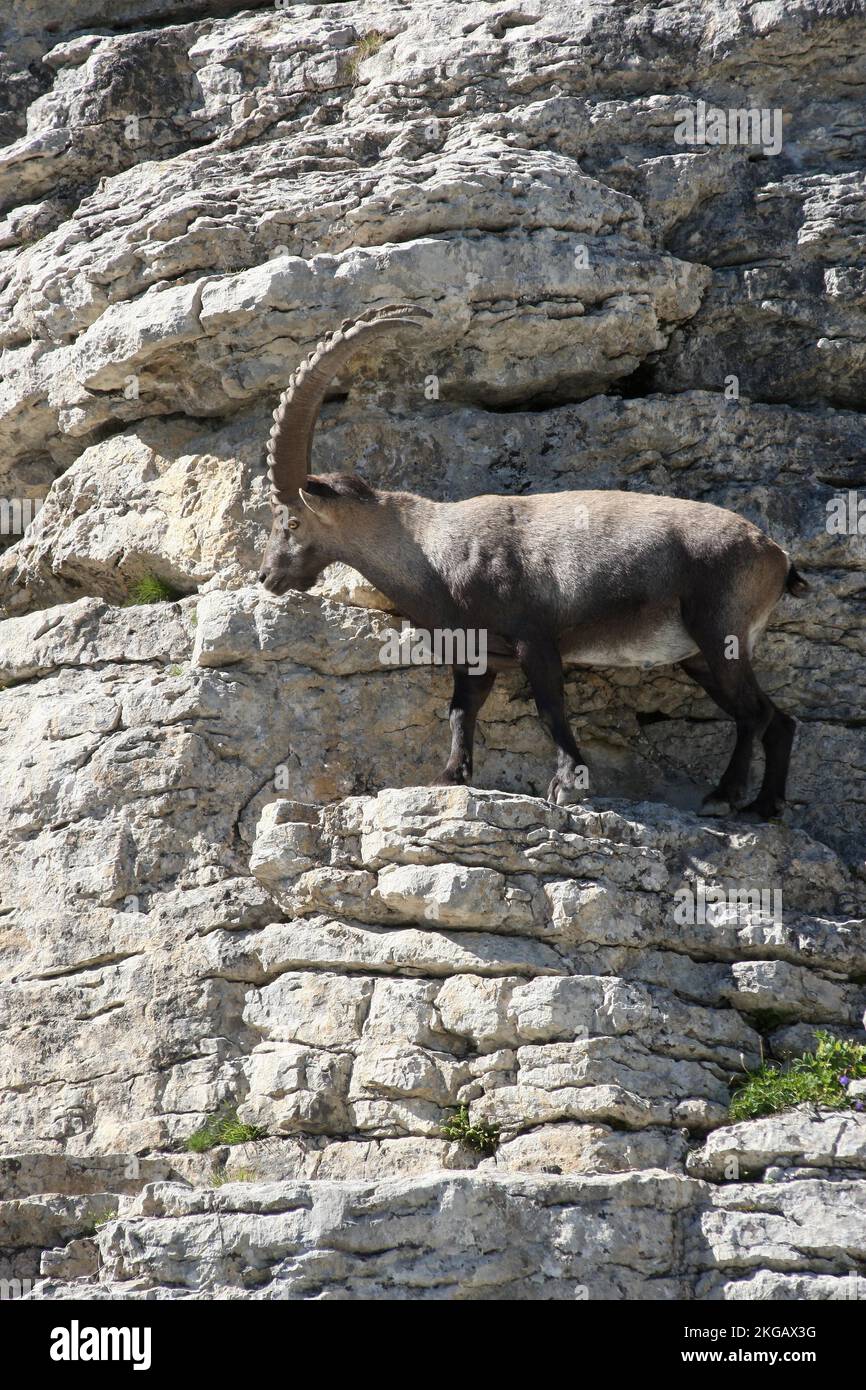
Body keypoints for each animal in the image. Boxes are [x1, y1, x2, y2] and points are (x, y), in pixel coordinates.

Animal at [259, 305, 807, 819]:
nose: (267, 576)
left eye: (291, 522)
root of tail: (776, 554)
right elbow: (460, 712)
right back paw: (766, 806)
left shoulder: (535, 638)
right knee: (779, 719)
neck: (432, 550)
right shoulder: (477, 654)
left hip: (718, 632)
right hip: (700, 655)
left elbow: (550, 709)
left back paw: (725, 796)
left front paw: (567, 785)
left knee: (754, 714)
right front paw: (449, 777)